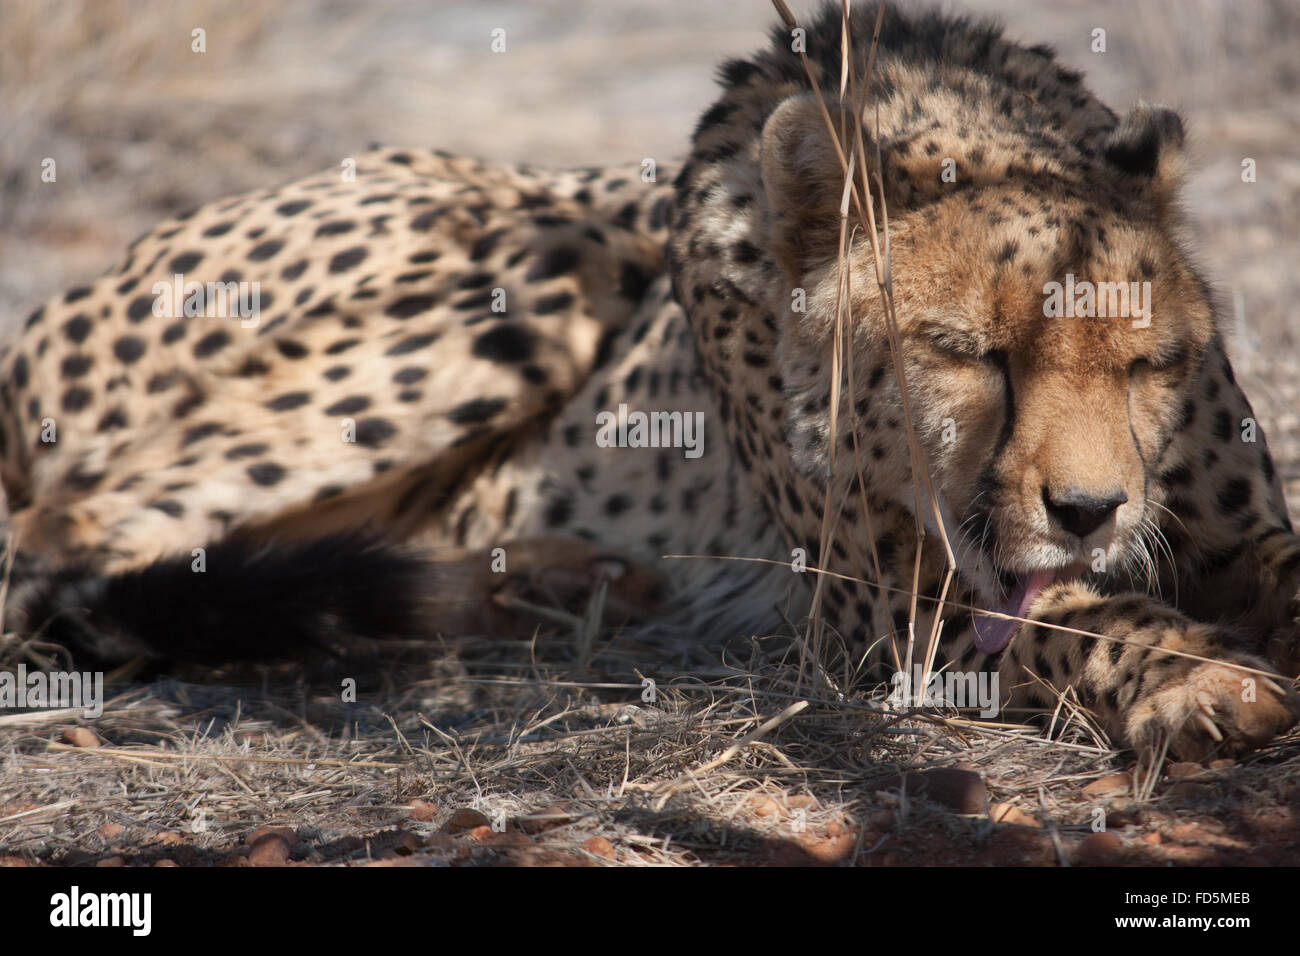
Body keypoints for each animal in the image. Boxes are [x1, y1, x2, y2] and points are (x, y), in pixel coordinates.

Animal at [4, 2, 1299, 763]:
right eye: (964, 350)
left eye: (1148, 362)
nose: (1086, 511)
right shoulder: (876, 604)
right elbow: (1074, 619)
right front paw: (1196, 675)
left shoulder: (1226, 525)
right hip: (540, 256)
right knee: (68, 544)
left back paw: (559, 577)